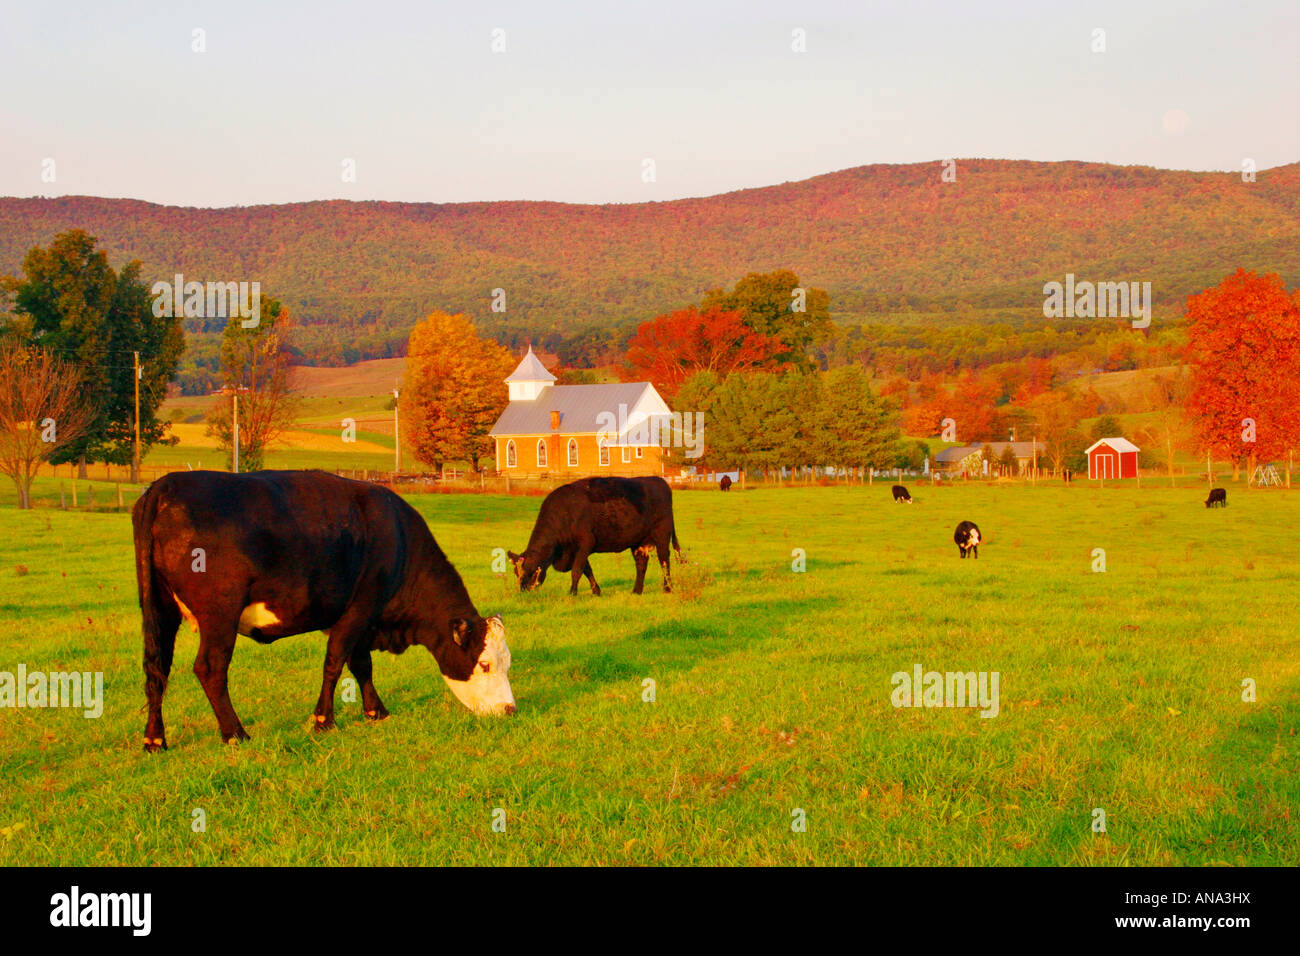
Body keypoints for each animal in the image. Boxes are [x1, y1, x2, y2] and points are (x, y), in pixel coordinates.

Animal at [132, 470, 515, 752]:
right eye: (485, 664)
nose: (509, 710)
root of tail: (166, 485)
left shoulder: (361, 619)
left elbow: (361, 665)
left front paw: (376, 711)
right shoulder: (360, 608)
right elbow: (335, 662)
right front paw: (323, 721)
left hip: (161, 609)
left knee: (157, 669)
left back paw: (155, 739)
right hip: (220, 614)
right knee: (210, 669)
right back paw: (235, 733)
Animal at [508, 476, 681, 595]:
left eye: (529, 572)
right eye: (516, 573)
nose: (522, 592)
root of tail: (658, 480)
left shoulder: (586, 542)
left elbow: (577, 570)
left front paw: (572, 593)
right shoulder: (576, 549)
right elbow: (587, 570)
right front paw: (596, 591)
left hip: (662, 534)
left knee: (664, 561)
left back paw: (667, 588)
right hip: (638, 542)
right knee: (641, 564)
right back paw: (636, 590)